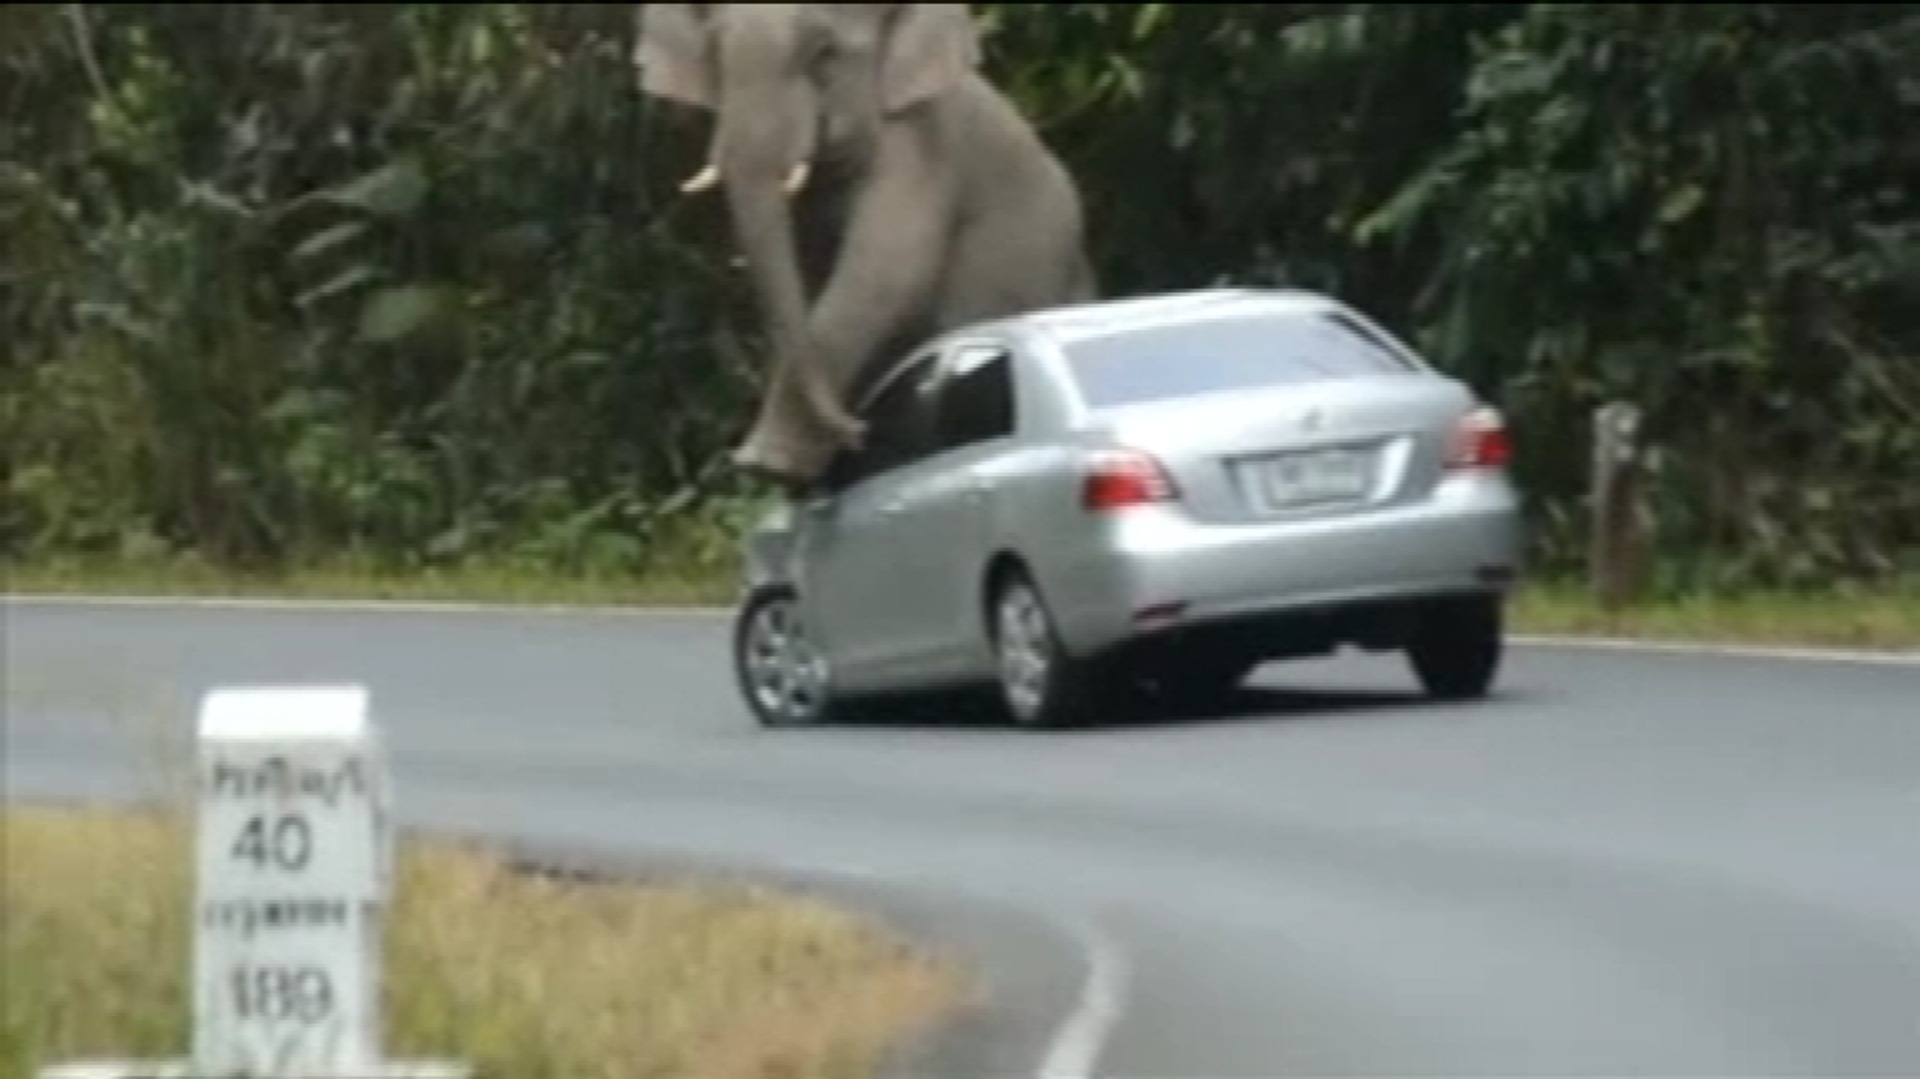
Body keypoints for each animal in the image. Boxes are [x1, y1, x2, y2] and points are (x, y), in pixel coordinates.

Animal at [634, 3, 1097, 488]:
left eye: (823, 53)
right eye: (715, 54)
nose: (856, 430)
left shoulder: (919, 143)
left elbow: (885, 275)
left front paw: (772, 464)